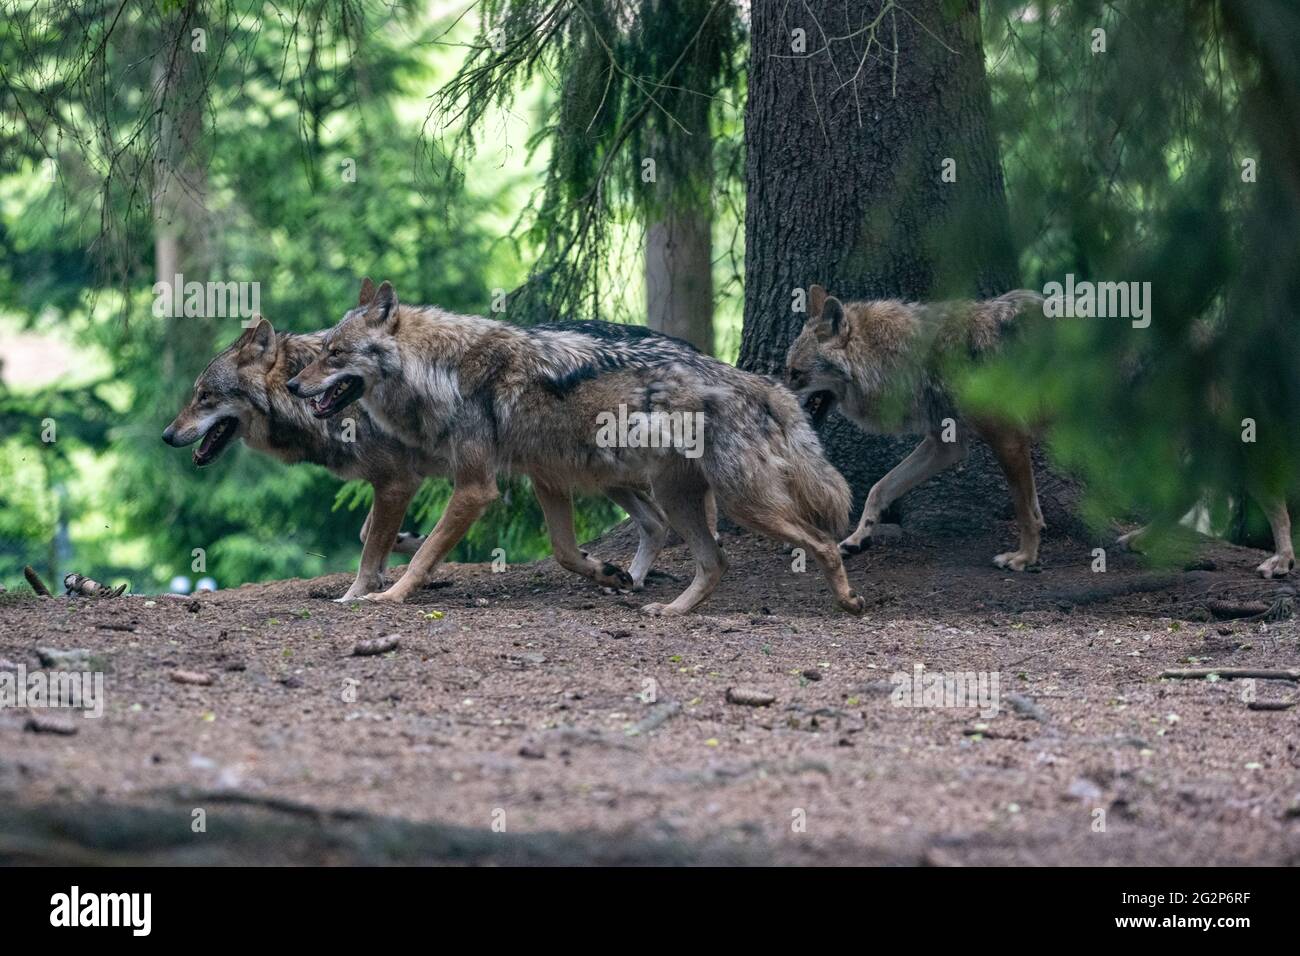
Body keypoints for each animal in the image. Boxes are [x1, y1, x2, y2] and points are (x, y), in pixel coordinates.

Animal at [162, 313, 674, 600]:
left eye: (205, 397)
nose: (167, 435)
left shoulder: (396, 481)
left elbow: (368, 549)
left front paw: (358, 593)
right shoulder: (399, 485)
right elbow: (373, 535)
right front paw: (412, 551)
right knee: (657, 522)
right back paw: (627, 577)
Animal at [286, 279, 862, 615]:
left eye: (334, 354)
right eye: (319, 351)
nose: (291, 387)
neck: (443, 371)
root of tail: (753, 381)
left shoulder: (475, 488)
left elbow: (424, 555)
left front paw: (387, 595)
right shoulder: (547, 477)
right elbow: (564, 552)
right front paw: (607, 573)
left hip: (741, 502)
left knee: (821, 541)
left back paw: (849, 600)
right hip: (661, 491)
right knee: (708, 557)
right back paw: (667, 608)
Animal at [786, 284, 1295, 578]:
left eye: (795, 374)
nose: (776, 398)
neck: (912, 355)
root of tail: (1210, 333)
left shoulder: (1007, 436)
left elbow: (1024, 510)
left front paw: (1024, 559)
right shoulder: (947, 445)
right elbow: (879, 486)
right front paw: (857, 538)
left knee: (1265, 492)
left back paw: (1282, 561)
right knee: (1187, 491)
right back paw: (1144, 540)